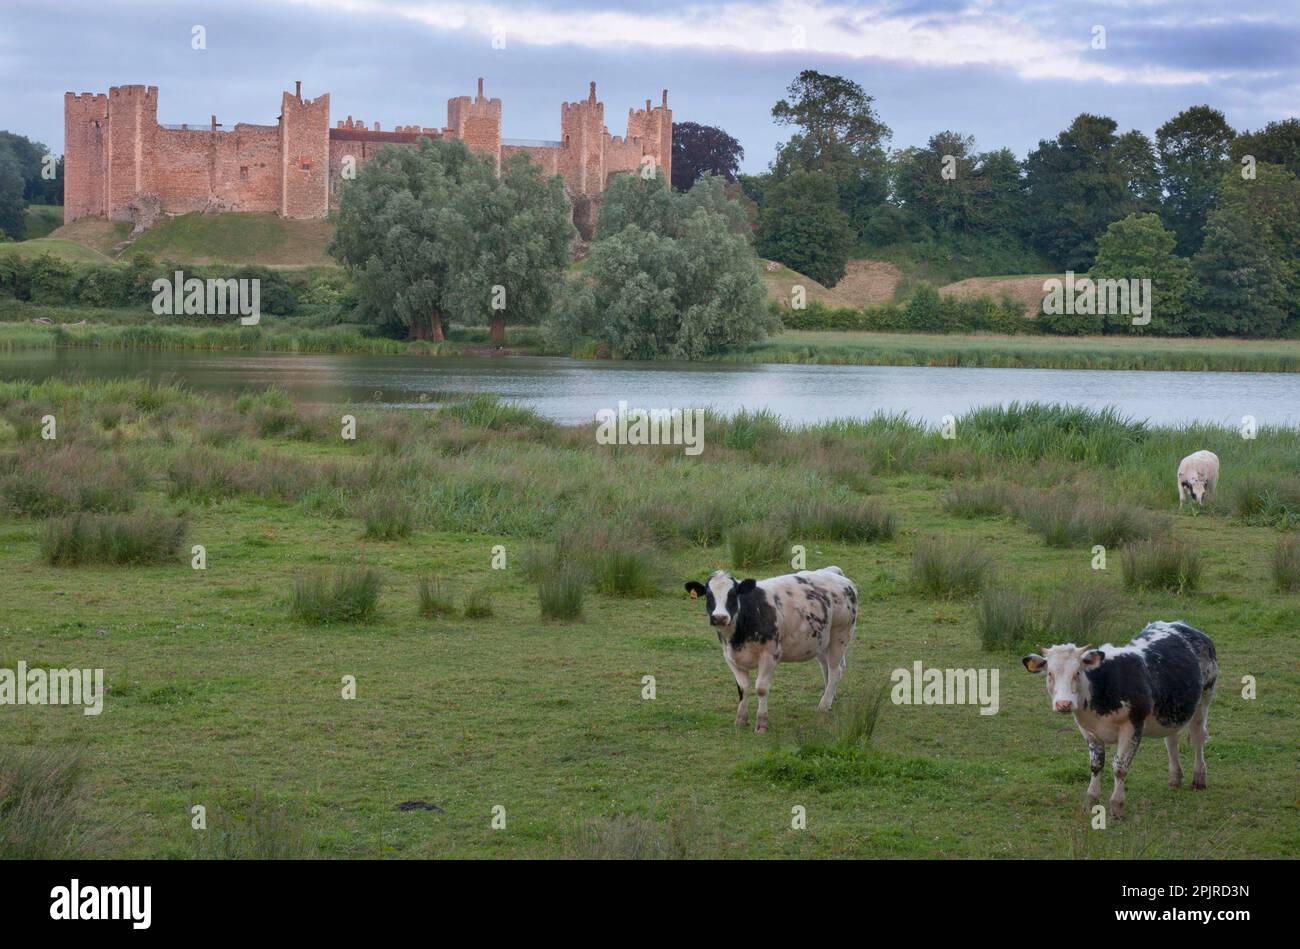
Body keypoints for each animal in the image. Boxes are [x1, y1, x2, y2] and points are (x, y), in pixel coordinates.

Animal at [684, 566, 858, 733]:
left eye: (733, 594)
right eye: (708, 595)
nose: (719, 617)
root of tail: (832, 572)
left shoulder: (770, 656)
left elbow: (761, 688)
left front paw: (761, 723)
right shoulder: (730, 657)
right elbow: (743, 688)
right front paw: (741, 719)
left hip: (840, 635)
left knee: (836, 670)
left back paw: (824, 704)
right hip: (822, 642)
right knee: (826, 667)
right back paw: (830, 698)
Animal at [1022, 620, 1217, 819]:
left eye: (1077, 672)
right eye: (1050, 674)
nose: (1064, 704)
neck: (1101, 687)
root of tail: (1180, 624)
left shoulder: (1132, 727)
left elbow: (1119, 767)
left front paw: (1117, 806)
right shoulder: (1088, 730)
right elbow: (1096, 765)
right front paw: (1091, 801)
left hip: (1205, 696)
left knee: (1198, 736)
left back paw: (1199, 777)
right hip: (1171, 712)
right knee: (1171, 741)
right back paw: (1175, 778)